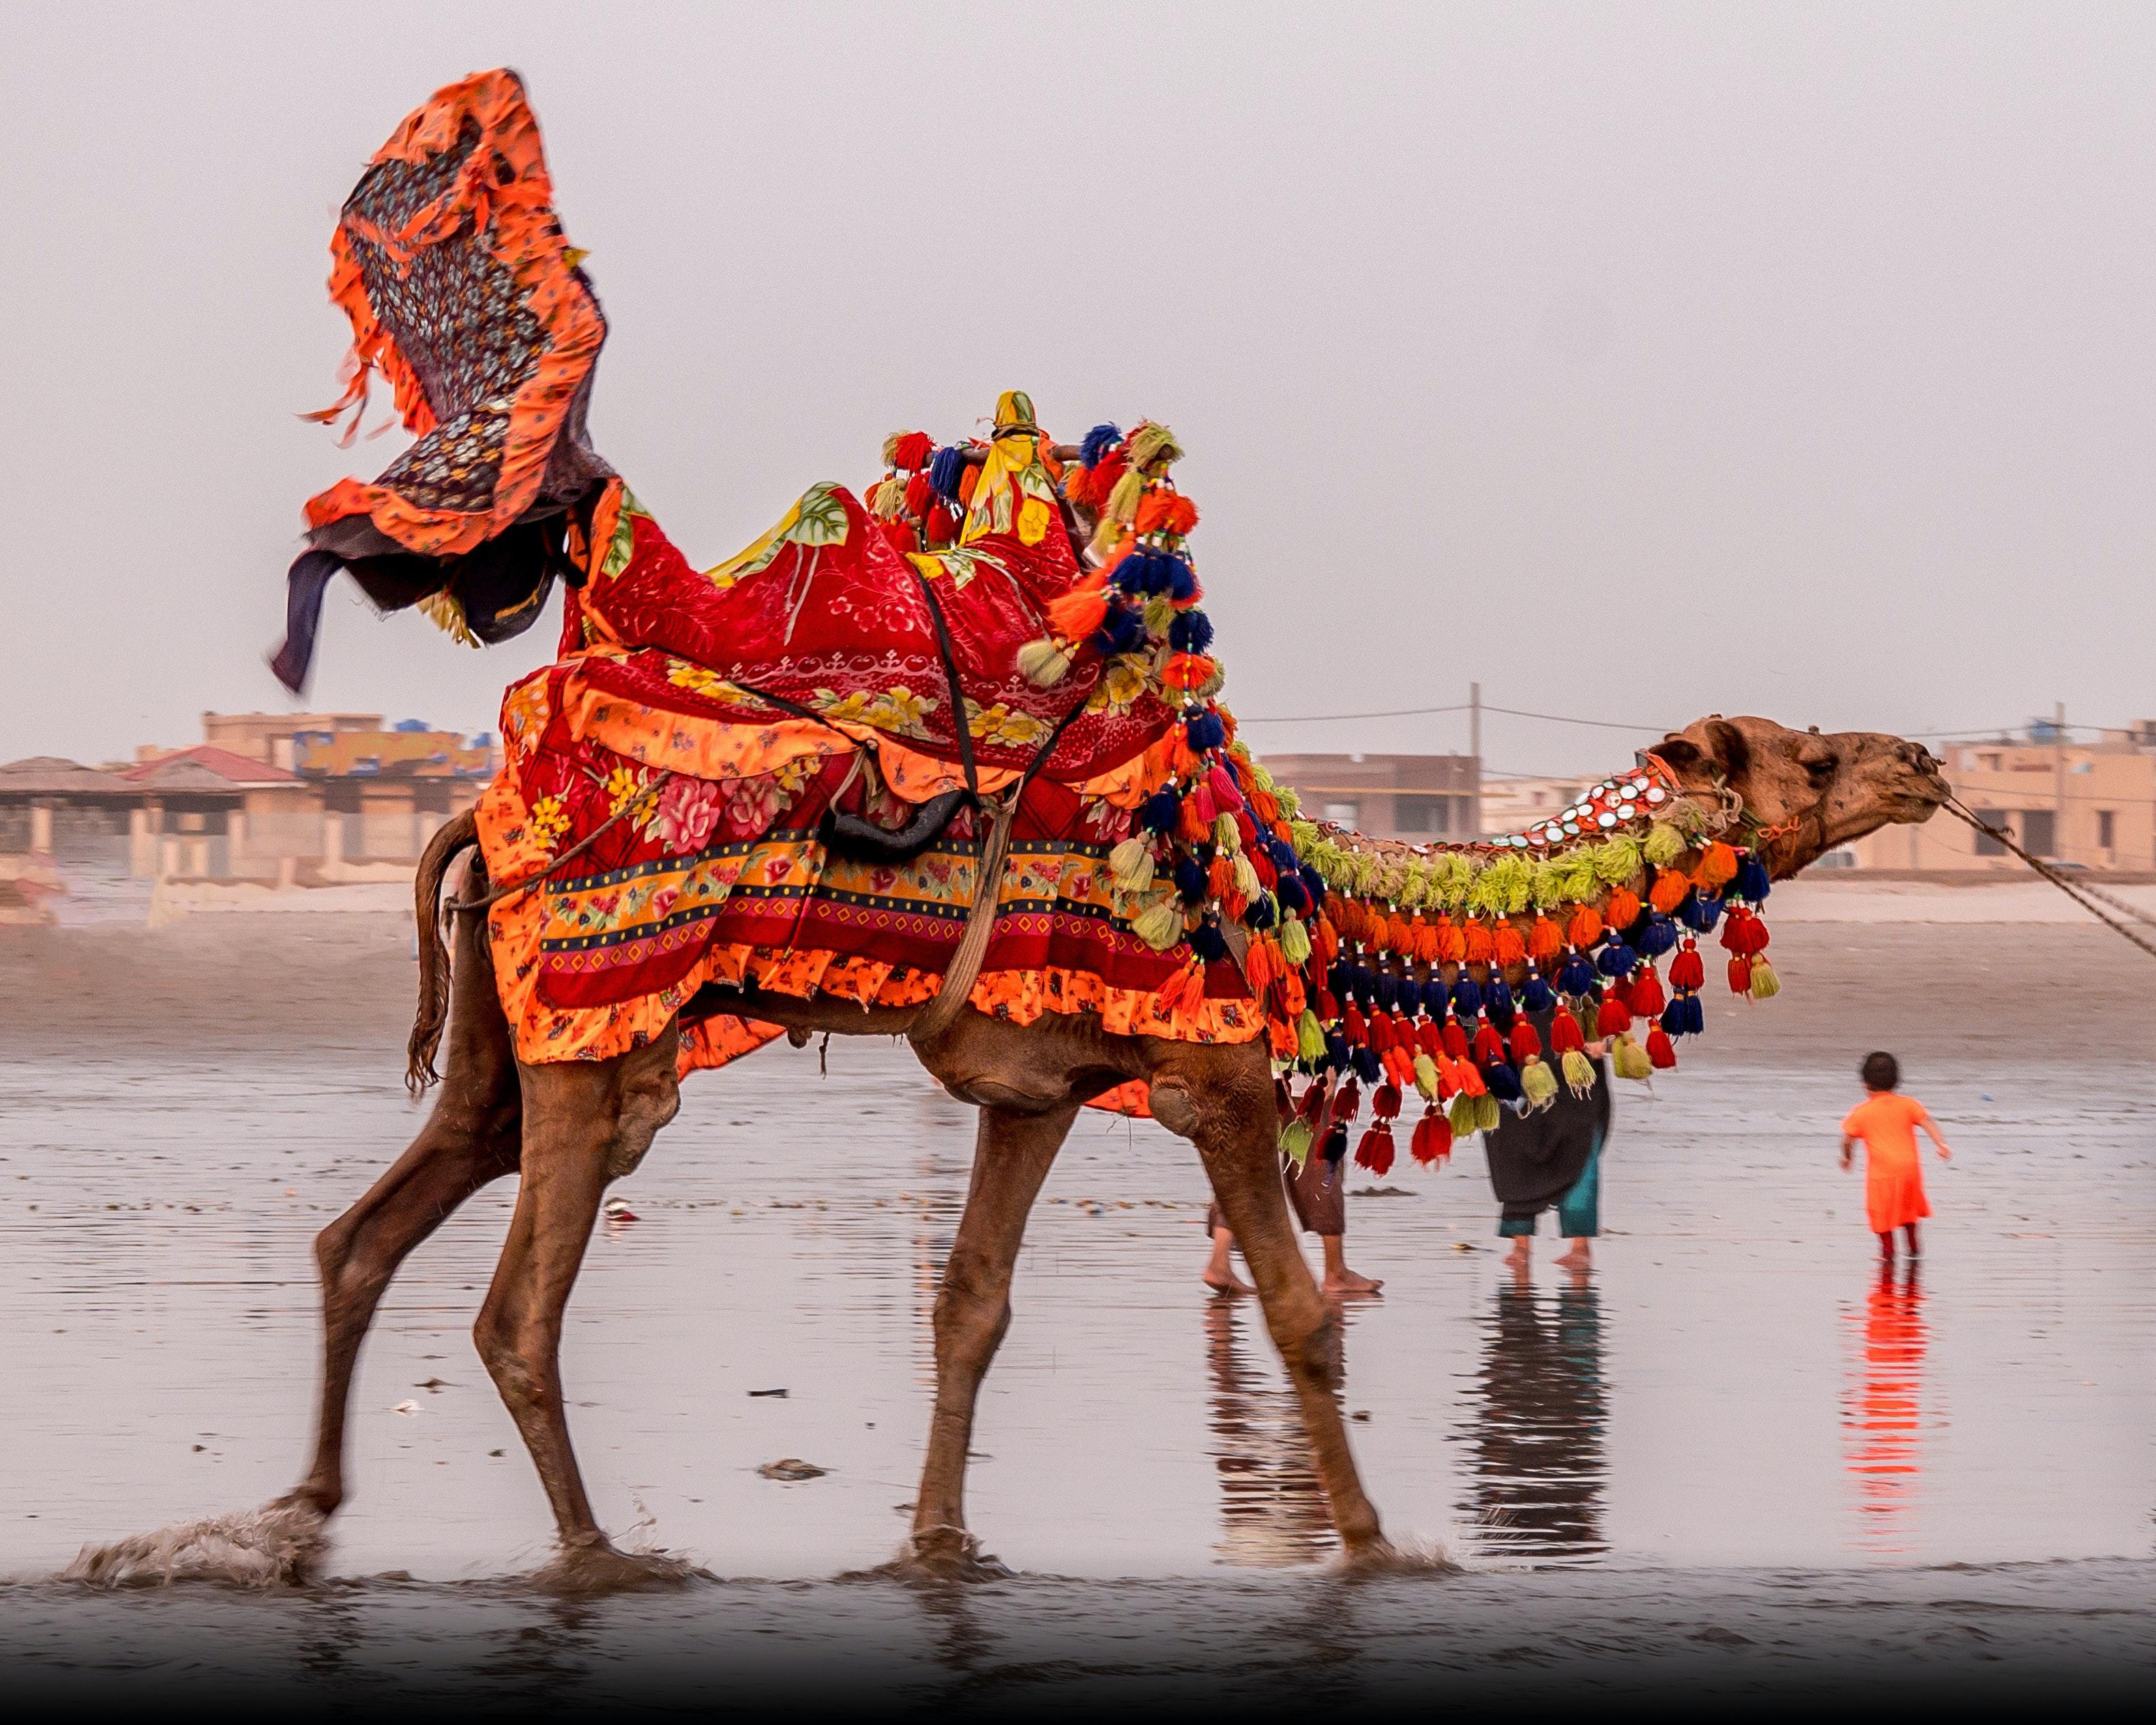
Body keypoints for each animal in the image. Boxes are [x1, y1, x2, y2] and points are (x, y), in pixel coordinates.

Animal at [139, 712, 1932, 1590]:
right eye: (1808, 753)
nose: (1923, 766)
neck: (1311, 891)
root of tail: (482, 814)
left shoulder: (1036, 1089)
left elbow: (970, 1306)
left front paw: (939, 1542)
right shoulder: (1214, 1073)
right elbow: (1298, 1312)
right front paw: (1373, 1544)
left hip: (506, 1063)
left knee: (363, 1234)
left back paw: (299, 1516)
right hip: (594, 1051)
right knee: (516, 1309)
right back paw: (600, 1555)